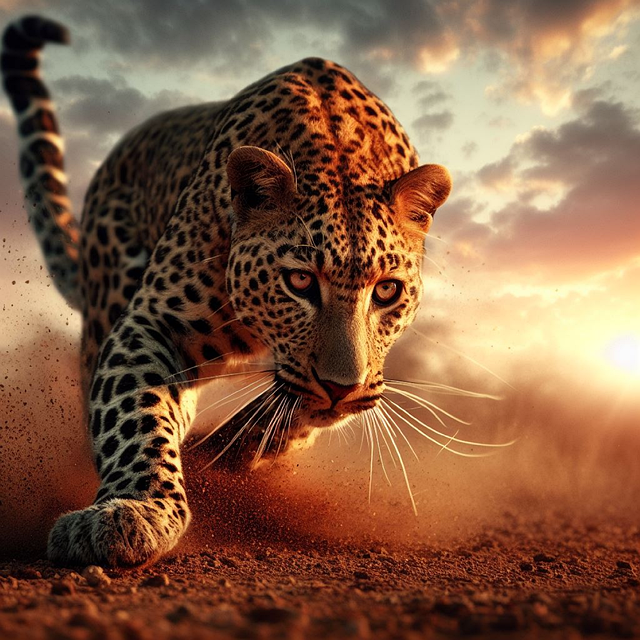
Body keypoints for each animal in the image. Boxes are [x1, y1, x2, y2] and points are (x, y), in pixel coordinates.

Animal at [2, 15, 452, 567]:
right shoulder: (154, 322)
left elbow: (283, 416)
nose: (341, 387)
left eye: (387, 292)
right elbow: (133, 412)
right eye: (300, 281)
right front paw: (133, 511)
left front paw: (224, 457)